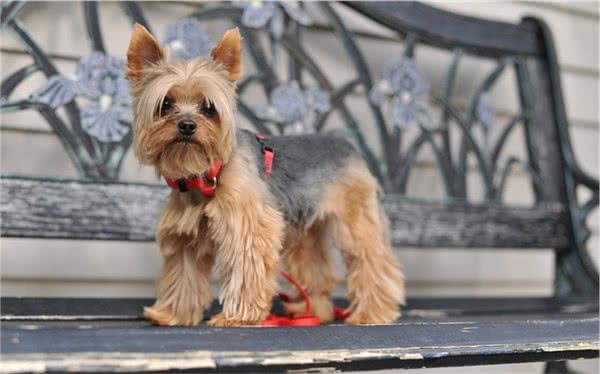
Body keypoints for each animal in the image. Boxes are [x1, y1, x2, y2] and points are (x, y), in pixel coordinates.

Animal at [128, 24, 406, 328]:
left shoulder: (248, 225)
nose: (187, 125)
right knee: (316, 270)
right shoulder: (184, 237)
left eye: (209, 108)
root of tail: (348, 145)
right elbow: (183, 275)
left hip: (356, 218)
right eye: (165, 104)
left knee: (373, 261)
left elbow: (244, 269)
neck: (205, 174)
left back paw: (372, 313)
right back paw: (312, 313)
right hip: (304, 232)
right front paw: (172, 314)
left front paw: (237, 316)